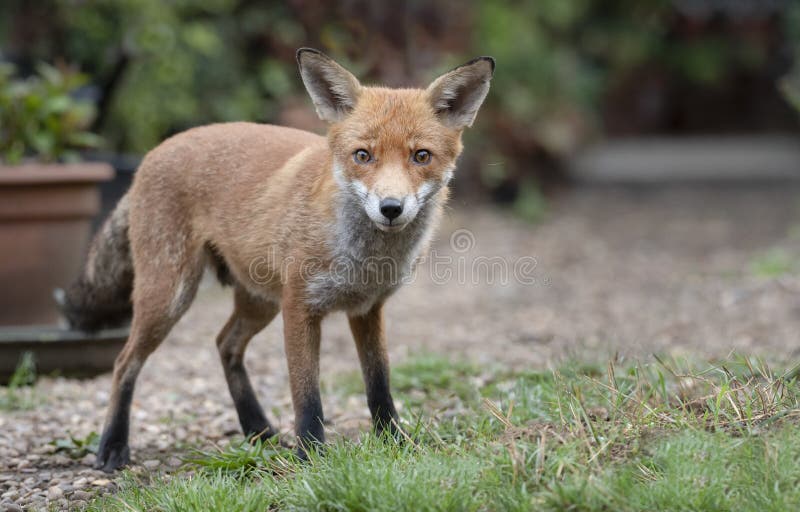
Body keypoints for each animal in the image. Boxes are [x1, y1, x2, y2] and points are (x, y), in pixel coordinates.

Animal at [60, 48, 494, 472]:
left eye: (421, 156)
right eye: (363, 155)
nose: (391, 208)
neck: (363, 259)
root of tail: (151, 154)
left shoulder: (367, 309)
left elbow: (379, 384)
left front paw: (394, 443)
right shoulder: (299, 306)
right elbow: (307, 395)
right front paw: (311, 457)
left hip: (258, 301)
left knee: (225, 344)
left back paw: (258, 429)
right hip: (170, 296)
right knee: (124, 363)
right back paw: (113, 446)